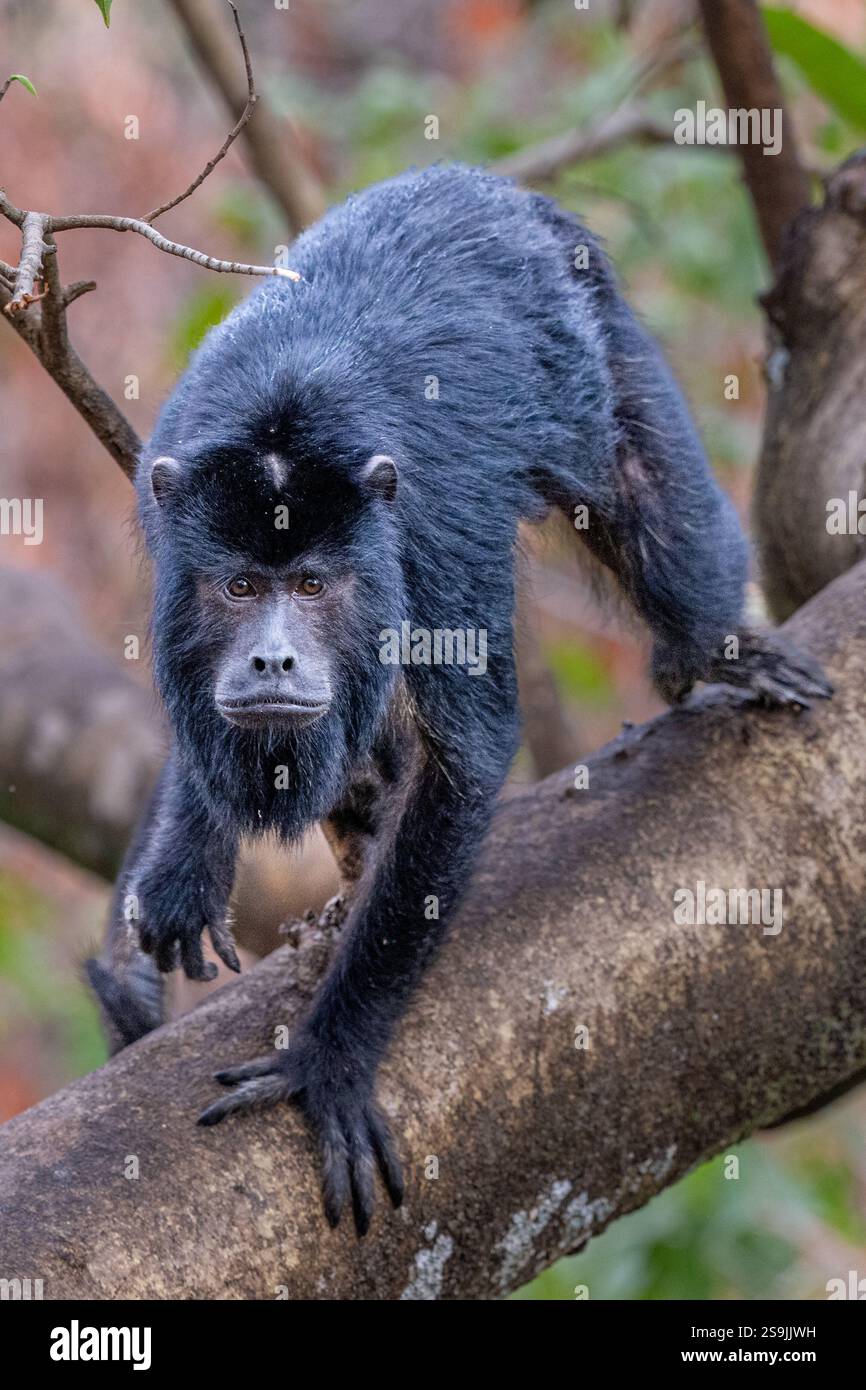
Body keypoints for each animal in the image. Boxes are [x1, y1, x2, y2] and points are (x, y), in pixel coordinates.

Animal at [87, 163, 830, 1236]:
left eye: (312, 585)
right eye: (239, 585)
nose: (271, 661)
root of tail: (485, 186)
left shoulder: (426, 537)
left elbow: (465, 759)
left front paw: (331, 1059)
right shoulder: (168, 499)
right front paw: (187, 865)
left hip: (596, 318)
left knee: (658, 512)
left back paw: (712, 651)